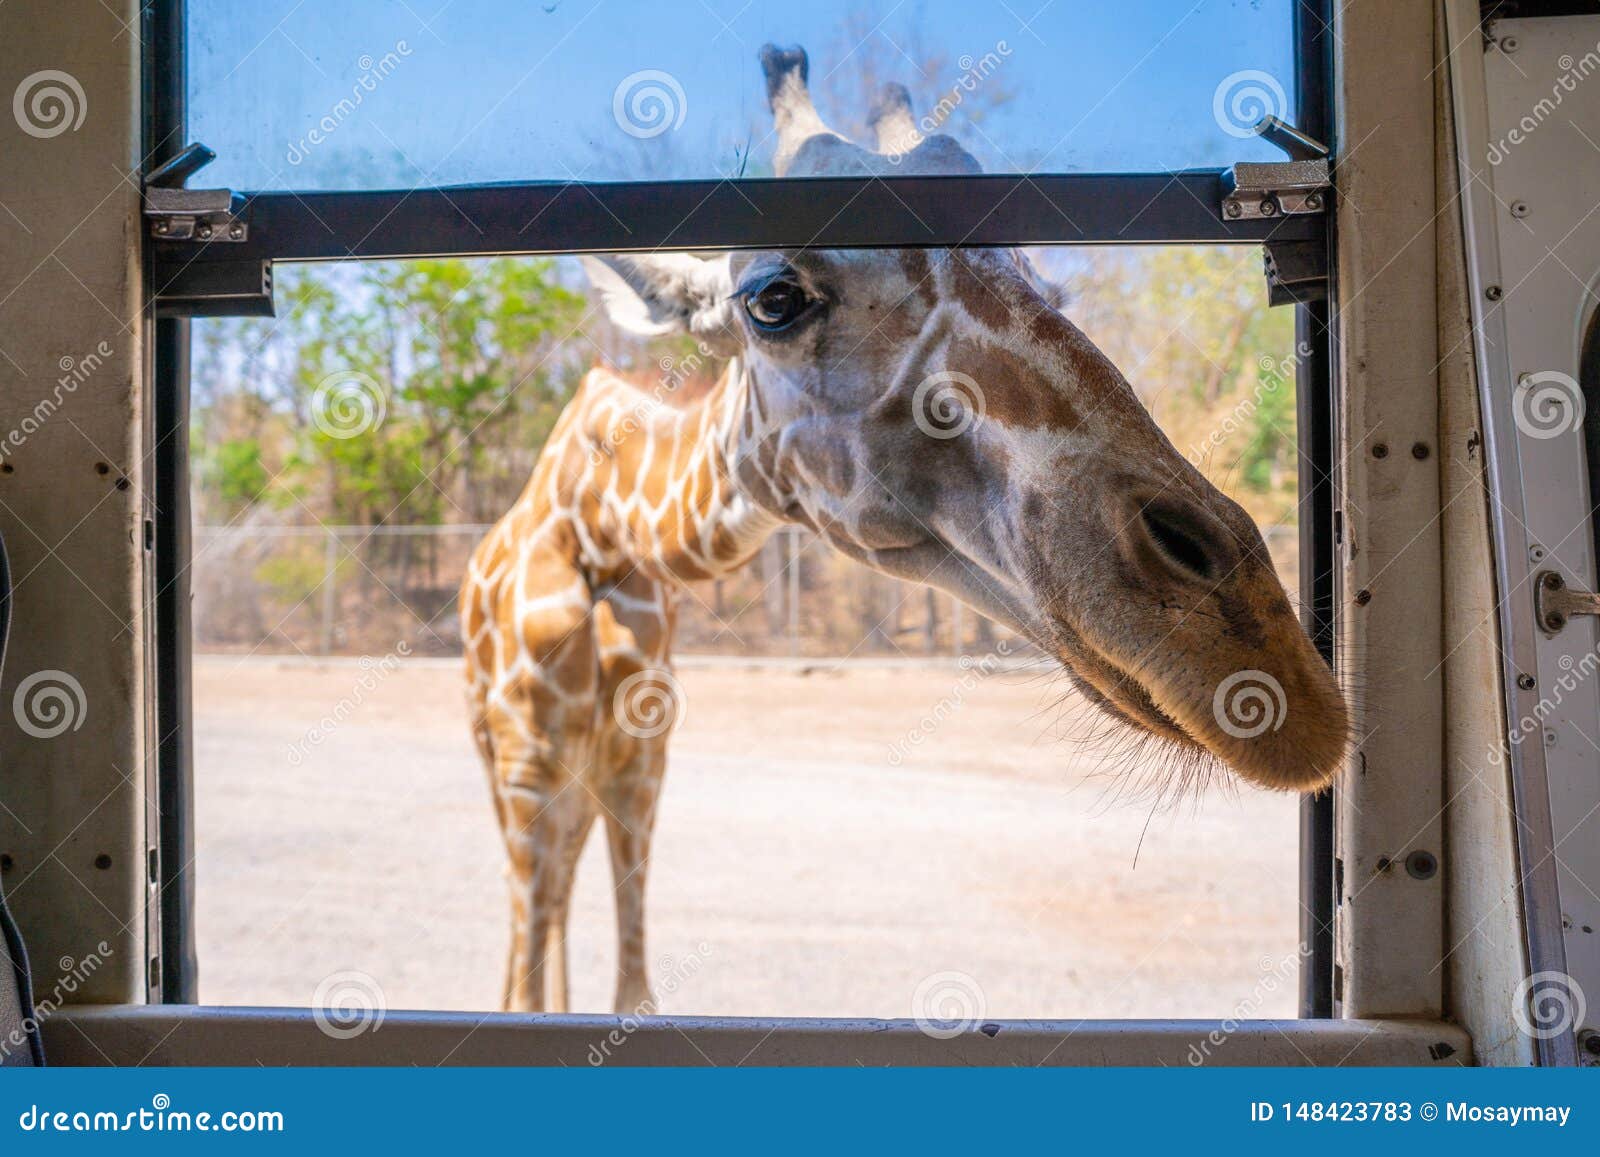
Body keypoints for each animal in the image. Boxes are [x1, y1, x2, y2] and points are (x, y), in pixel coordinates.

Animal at [461, 45, 1350, 1014]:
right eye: (773, 298)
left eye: (1049, 283)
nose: (1268, 660)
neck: (604, 526)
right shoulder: (528, 761)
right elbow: (527, 988)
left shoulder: (642, 757)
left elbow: (629, 991)